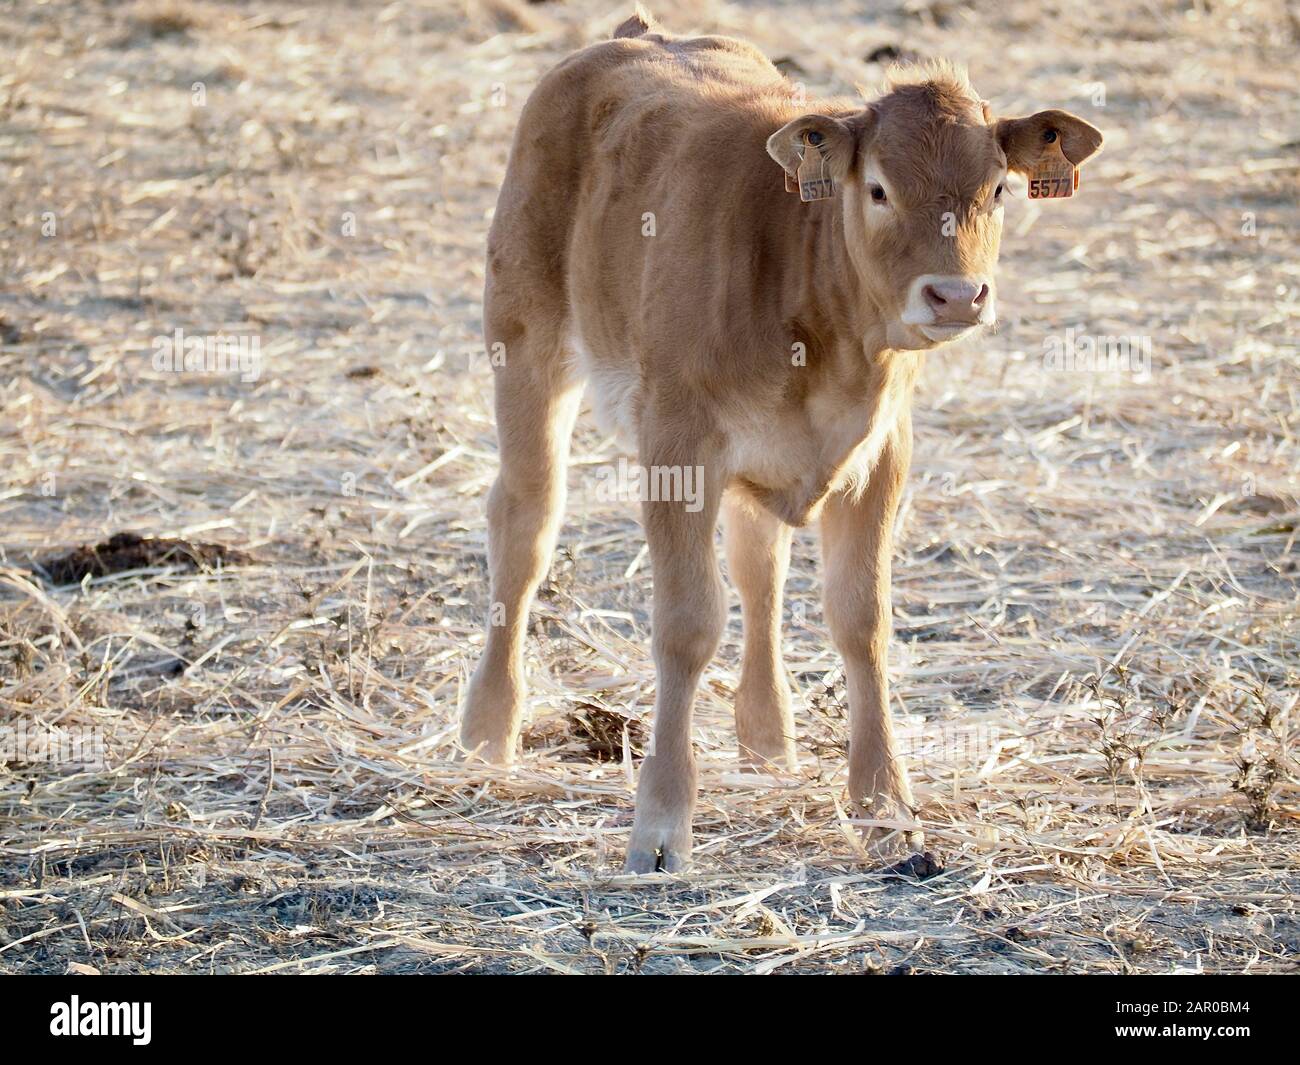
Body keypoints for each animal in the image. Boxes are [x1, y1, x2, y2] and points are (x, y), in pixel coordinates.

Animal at [460, 7, 1102, 872]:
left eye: (997, 188)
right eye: (878, 188)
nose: (957, 294)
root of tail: (637, 34)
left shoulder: (882, 451)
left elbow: (861, 620)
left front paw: (885, 804)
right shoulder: (678, 442)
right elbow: (688, 623)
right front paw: (661, 824)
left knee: (757, 564)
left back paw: (767, 741)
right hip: (525, 337)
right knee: (525, 524)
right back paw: (486, 731)